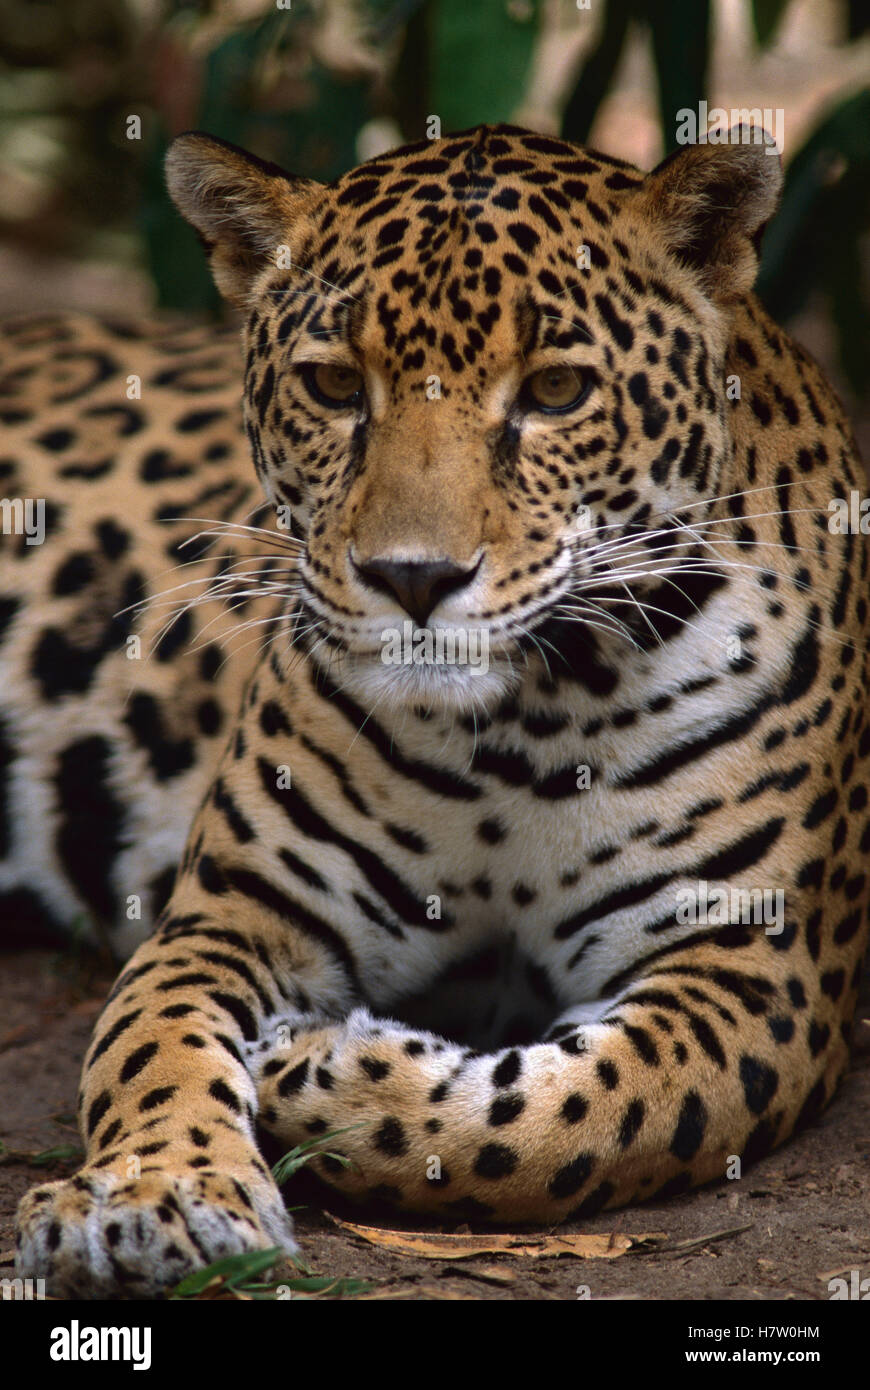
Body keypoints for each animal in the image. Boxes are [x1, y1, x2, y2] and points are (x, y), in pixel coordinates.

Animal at [5, 121, 869, 1298]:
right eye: (333, 385)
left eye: (557, 389)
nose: (413, 576)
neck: (527, 723)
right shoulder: (235, 912)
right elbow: (149, 1045)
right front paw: (155, 1193)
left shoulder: (754, 972)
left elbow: (562, 1124)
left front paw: (319, 1068)